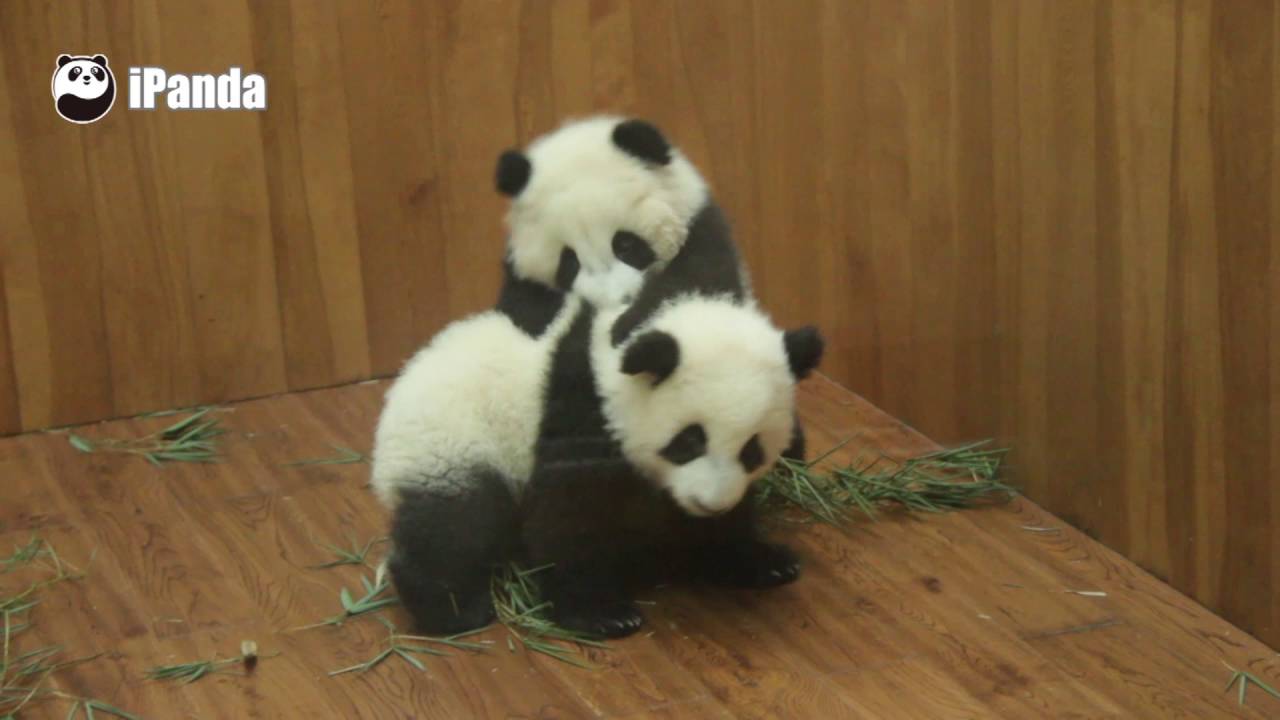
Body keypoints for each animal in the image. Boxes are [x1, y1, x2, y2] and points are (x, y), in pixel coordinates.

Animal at [372, 293, 824, 637]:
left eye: (752, 450)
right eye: (689, 440)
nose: (710, 503)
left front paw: (764, 561)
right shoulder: (577, 418)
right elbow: (568, 519)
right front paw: (601, 613)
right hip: (455, 441)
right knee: (457, 524)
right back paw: (453, 610)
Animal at [493, 115, 749, 339]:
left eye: (625, 244)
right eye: (570, 261)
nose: (617, 302)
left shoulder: (701, 230)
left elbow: (695, 283)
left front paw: (625, 328)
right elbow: (524, 302)